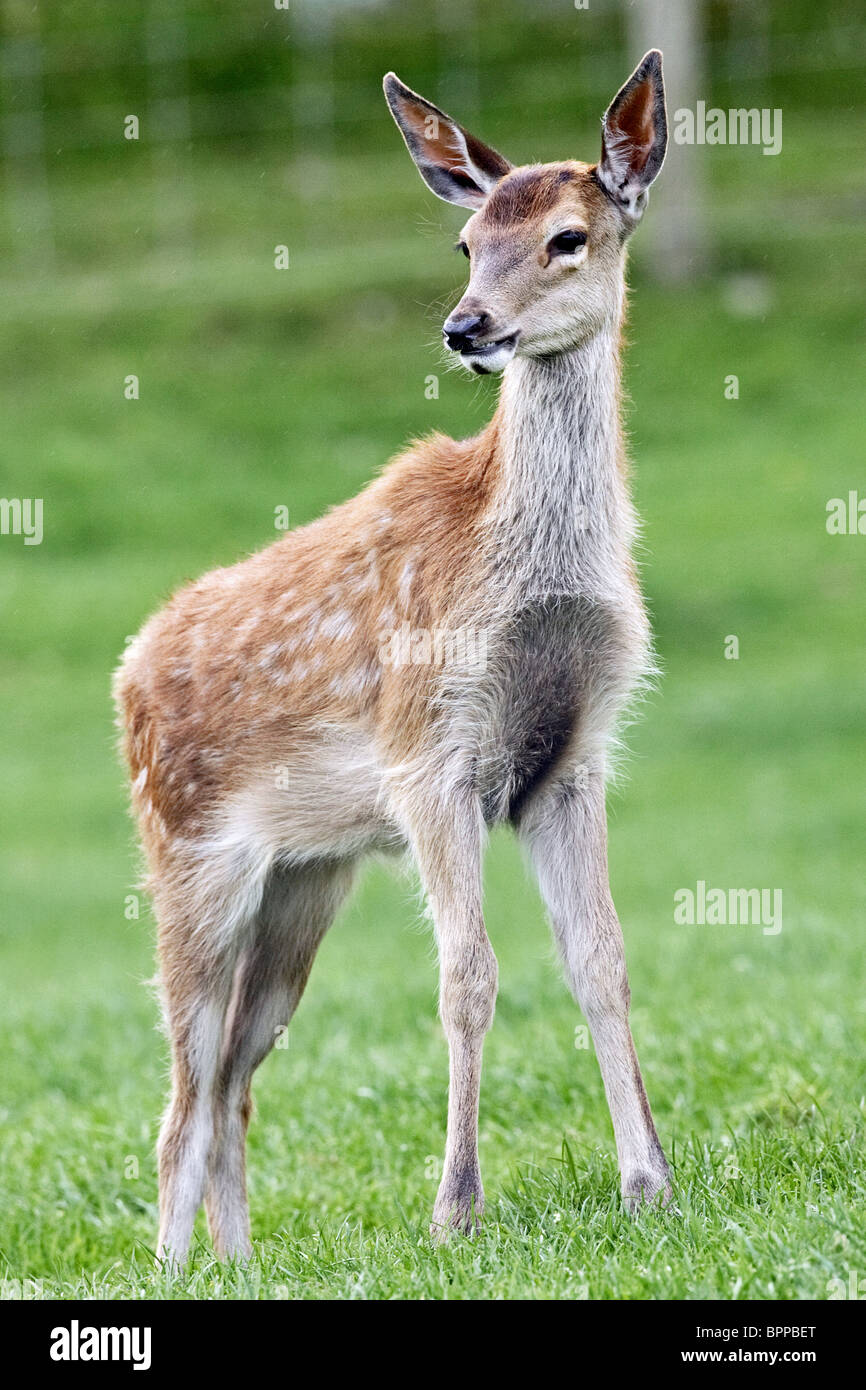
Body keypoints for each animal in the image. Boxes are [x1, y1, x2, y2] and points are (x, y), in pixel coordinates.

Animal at [114, 50, 673, 1267]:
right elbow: (467, 976)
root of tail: (127, 673)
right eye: (465, 244)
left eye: (566, 236)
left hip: (304, 879)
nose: (467, 326)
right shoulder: (428, 753)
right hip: (185, 856)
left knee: (233, 1078)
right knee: (181, 1089)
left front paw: (649, 1182)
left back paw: (237, 1265)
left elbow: (601, 960)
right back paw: (172, 1268)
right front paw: (454, 1208)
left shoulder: (571, 758)